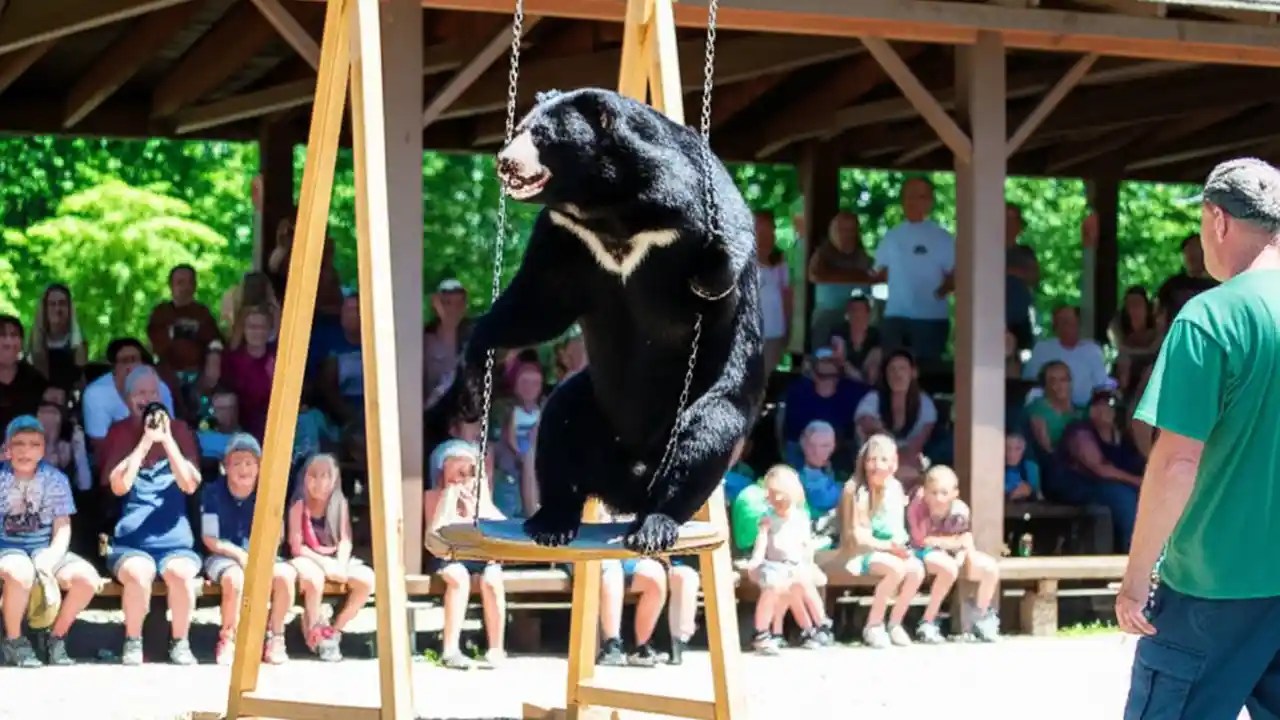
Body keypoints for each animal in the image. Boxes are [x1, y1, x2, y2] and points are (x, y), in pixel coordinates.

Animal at [429, 87, 765, 554]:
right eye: (519, 129)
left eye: (542, 135)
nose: (505, 162)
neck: (609, 210)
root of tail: (629, 483)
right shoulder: (566, 235)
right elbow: (538, 302)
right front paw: (473, 380)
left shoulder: (690, 213)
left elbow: (719, 286)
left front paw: (708, 273)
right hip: (588, 399)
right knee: (558, 426)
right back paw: (552, 520)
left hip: (711, 400)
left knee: (704, 436)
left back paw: (654, 525)